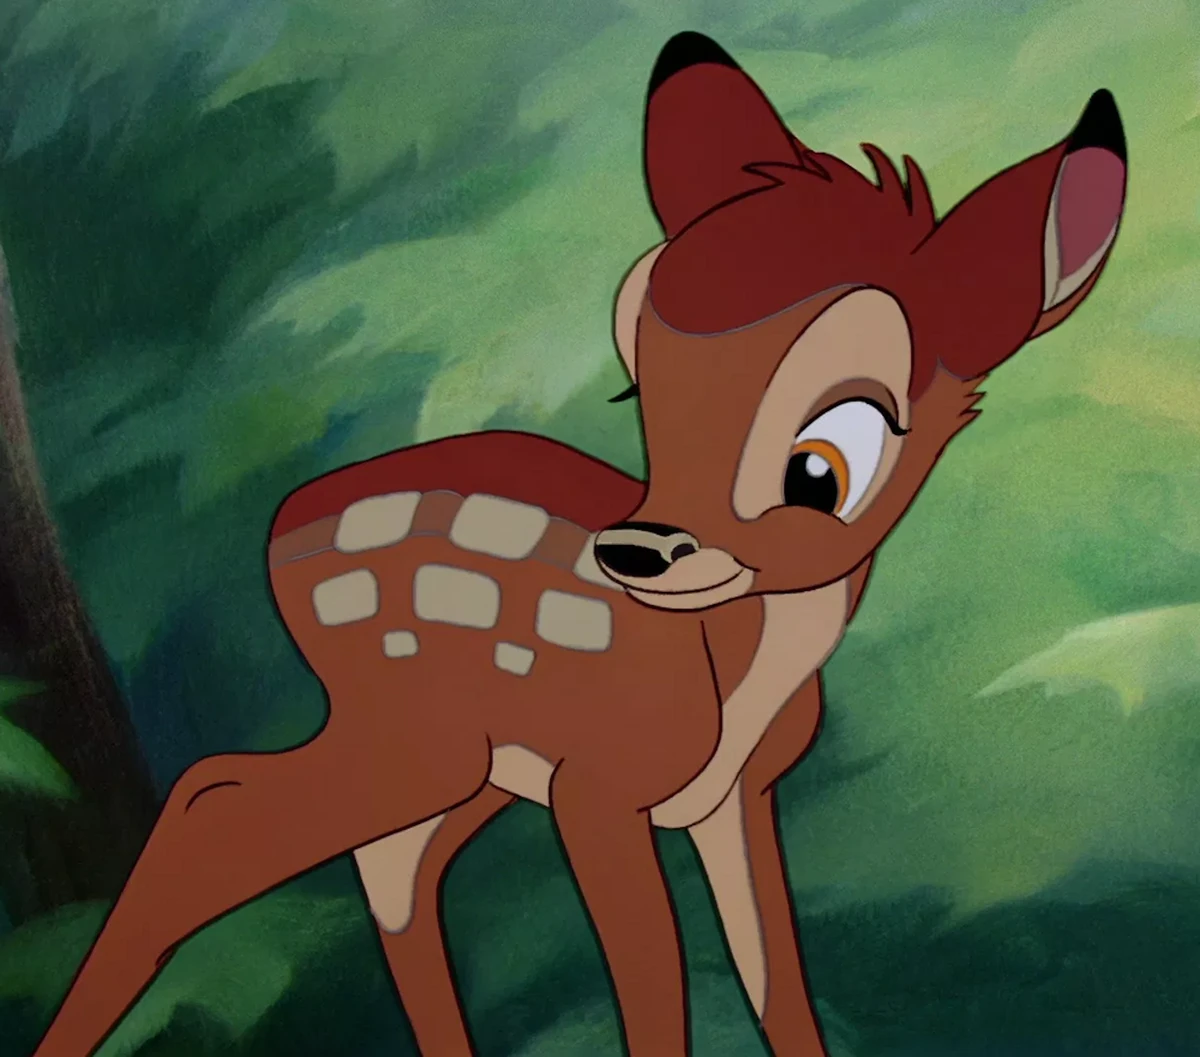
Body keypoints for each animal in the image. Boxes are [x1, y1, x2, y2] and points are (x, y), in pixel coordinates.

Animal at [31, 29, 1128, 1057]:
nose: (639, 551)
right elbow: (655, 982)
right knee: (211, 798)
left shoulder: (734, 796)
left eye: (825, 467)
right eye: (638, 378)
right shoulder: (596, 788)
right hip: (416, 731)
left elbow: (774, 975)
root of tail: (280, 524)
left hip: (460, 761)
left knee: (385, 864)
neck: (736, 670)